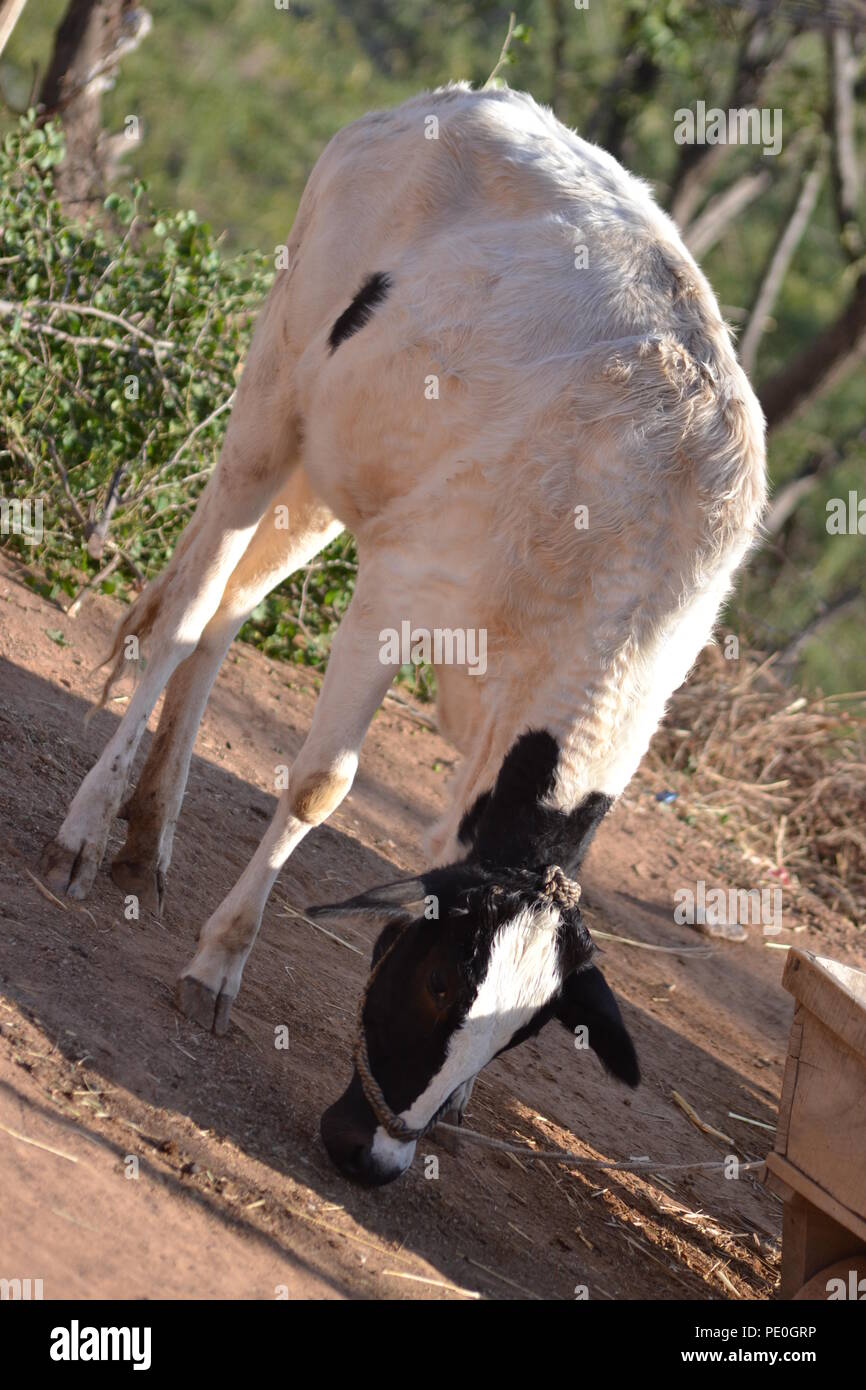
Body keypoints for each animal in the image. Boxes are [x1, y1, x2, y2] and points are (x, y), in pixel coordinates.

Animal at [41, 84, 767, 1186]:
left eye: (517, 1037)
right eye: (438, 988)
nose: (373, 1157)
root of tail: (466, 97)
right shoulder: (397, 595)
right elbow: (319, 784)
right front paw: (220, 962)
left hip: (338, 471)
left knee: (228, 616)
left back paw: (149, 830)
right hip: (274, 402)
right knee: (188, 609)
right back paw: (90, 827)